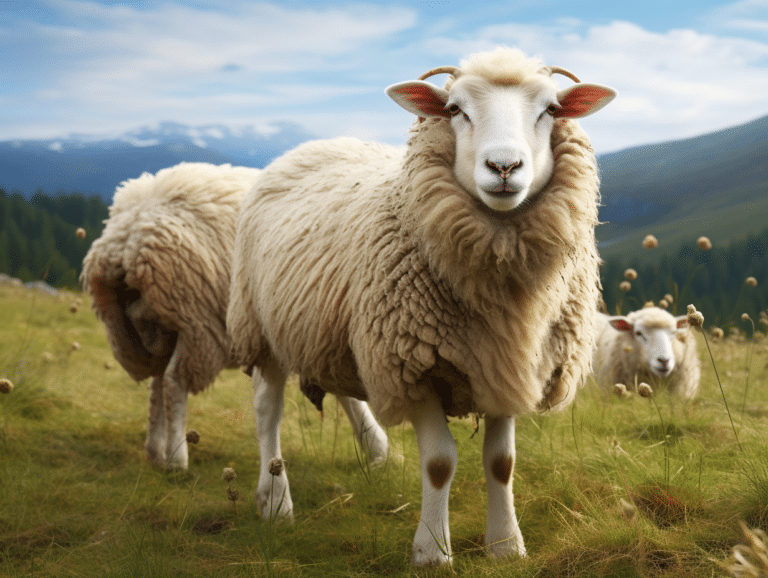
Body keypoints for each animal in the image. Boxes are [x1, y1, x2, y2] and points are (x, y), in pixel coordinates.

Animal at [81, 162, 389, 470]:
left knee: (158, 382)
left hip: (158, 329)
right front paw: (378, 449)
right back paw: (177, 459)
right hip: (195, 320)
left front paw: (374, 448)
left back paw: (156, 452)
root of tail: (127, 242)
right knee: (173, 382)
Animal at [227, 46, 616, 565]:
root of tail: (311, 145)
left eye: (551, 109)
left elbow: (502, 462)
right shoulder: (413, 365)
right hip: (260, 323)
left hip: (335, 327)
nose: (504, 167)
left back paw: (376, 453)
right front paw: (432, 550)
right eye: (454, 110)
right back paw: (275, 500)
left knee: (344, 388)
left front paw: (506, 545)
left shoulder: (509, 361)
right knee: (267, 410)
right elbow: (438, 463)